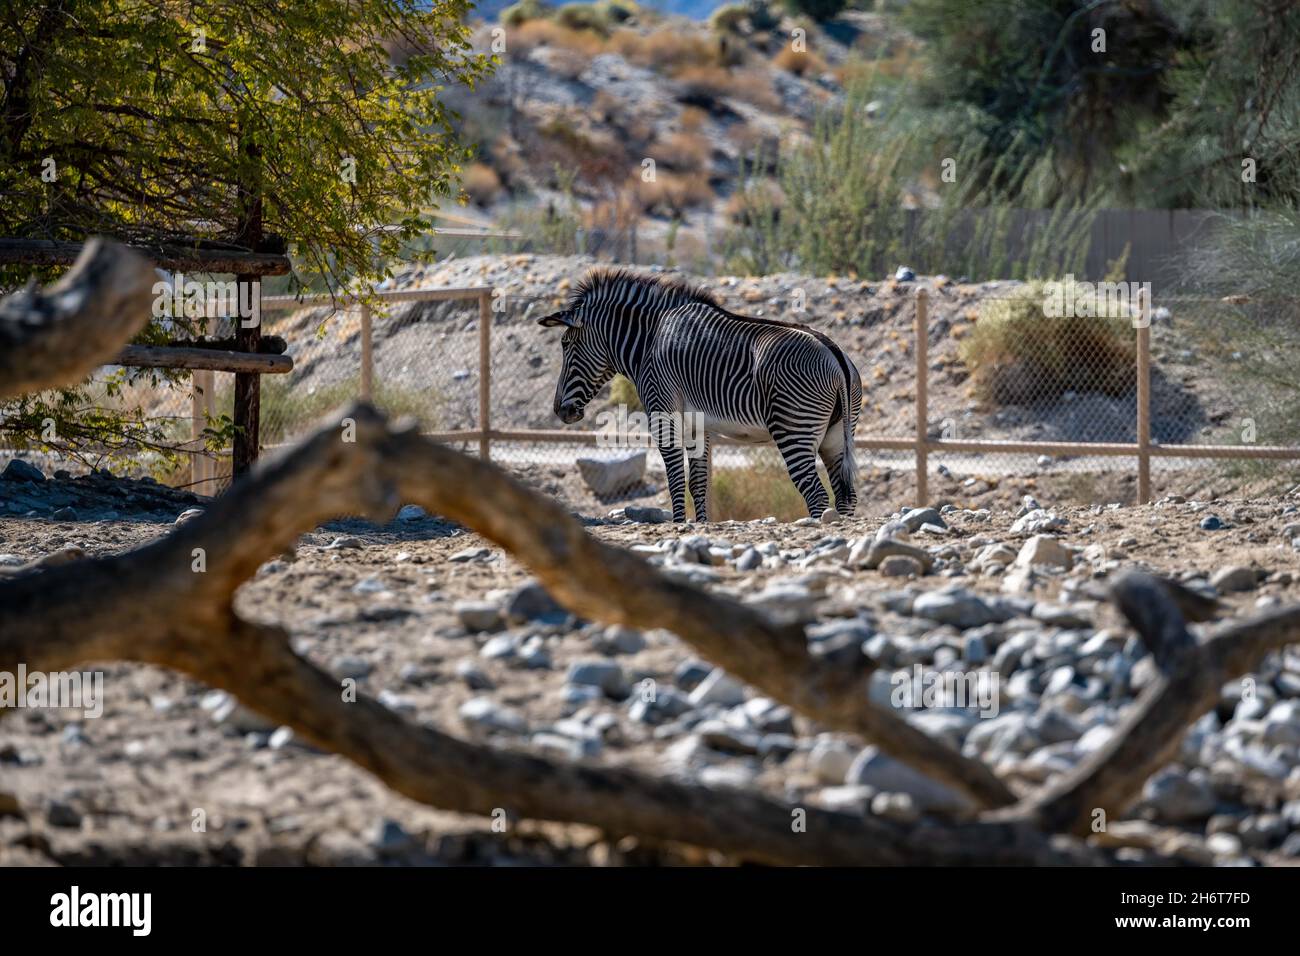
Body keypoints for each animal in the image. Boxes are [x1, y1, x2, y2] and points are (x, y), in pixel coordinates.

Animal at [538, 267, 862, 522]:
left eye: (566, 345)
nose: (560, 410)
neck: (650, 337)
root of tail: (835, 356)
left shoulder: (662, 413)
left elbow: (675, 478)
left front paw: (679, 525)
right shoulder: (698, 425)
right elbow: (698, 482)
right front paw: (700, 526)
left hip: (794, 430)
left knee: (816, 494)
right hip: (835, 437)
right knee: (845, 496)